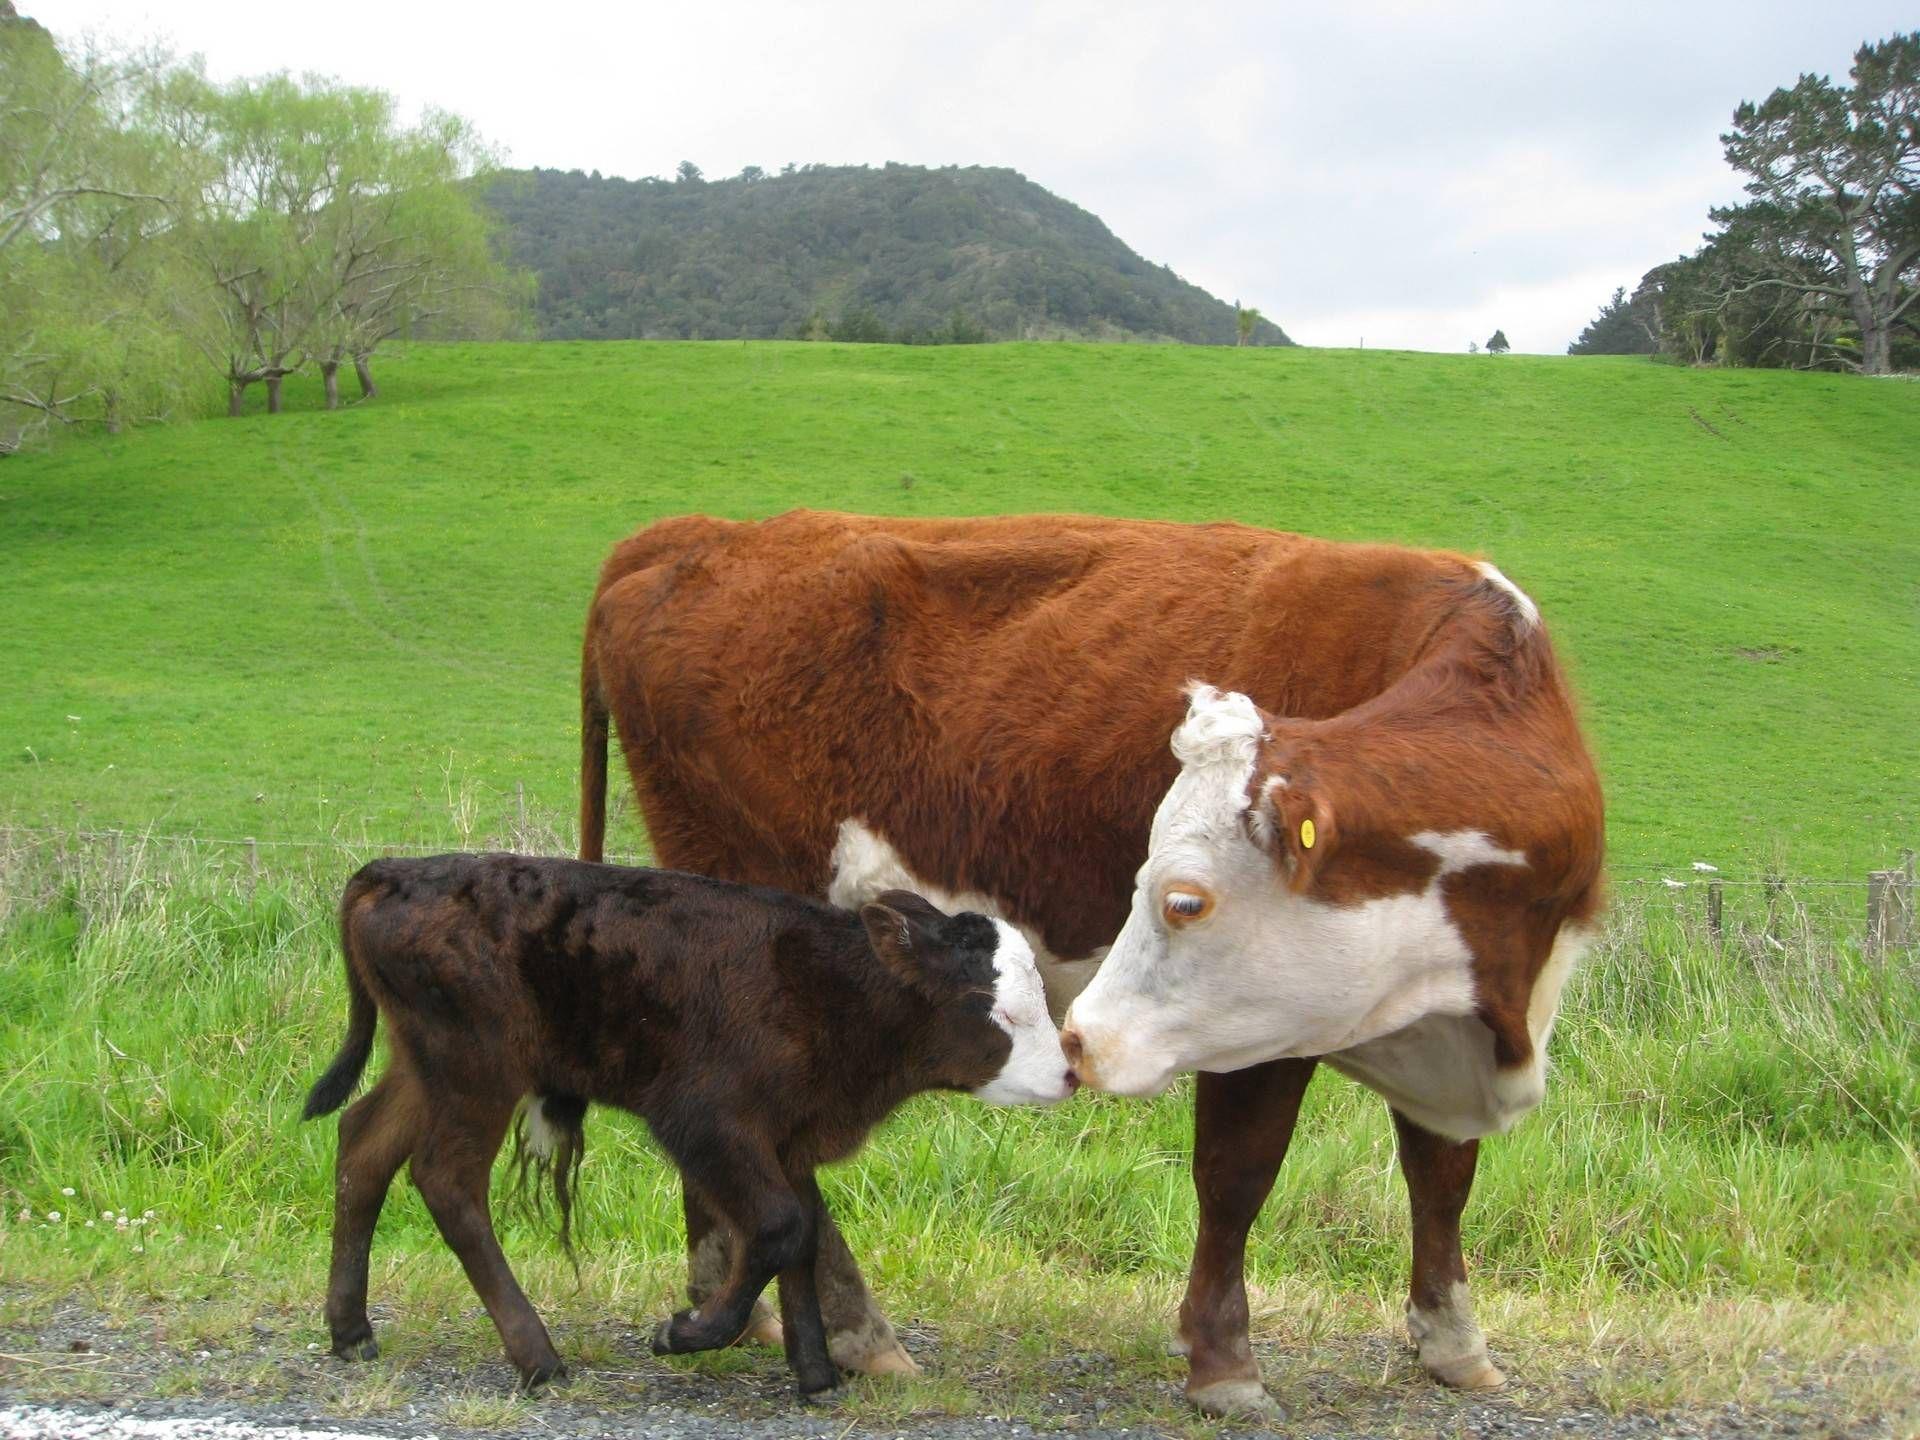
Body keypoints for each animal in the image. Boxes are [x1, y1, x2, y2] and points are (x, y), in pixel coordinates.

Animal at [301, 853, 1076, 1396]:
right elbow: (778, 1227)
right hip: (476, 1069)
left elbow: (802, 1234)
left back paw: (351, 1329)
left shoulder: (789, 1137)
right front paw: (690, 1332)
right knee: (447, 1180)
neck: (826, 990)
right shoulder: (704, 1121)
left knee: (362, 1146)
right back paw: (539, 1358)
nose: (1069, 1073)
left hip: (426, 1064)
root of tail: (394, 872)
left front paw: (816, 1374)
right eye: (999, 1009)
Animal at [580, 509, 1604, 1416]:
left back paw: (732, 1299)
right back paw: (858, 1330)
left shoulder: (1453, 1011)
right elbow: (1236, 1177)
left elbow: (1442, 1175)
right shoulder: (1262, 1029)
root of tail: (699, 532)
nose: (1077, 1042)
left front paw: (1454, 1341)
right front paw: (1225, 1366)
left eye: (1183, 898)